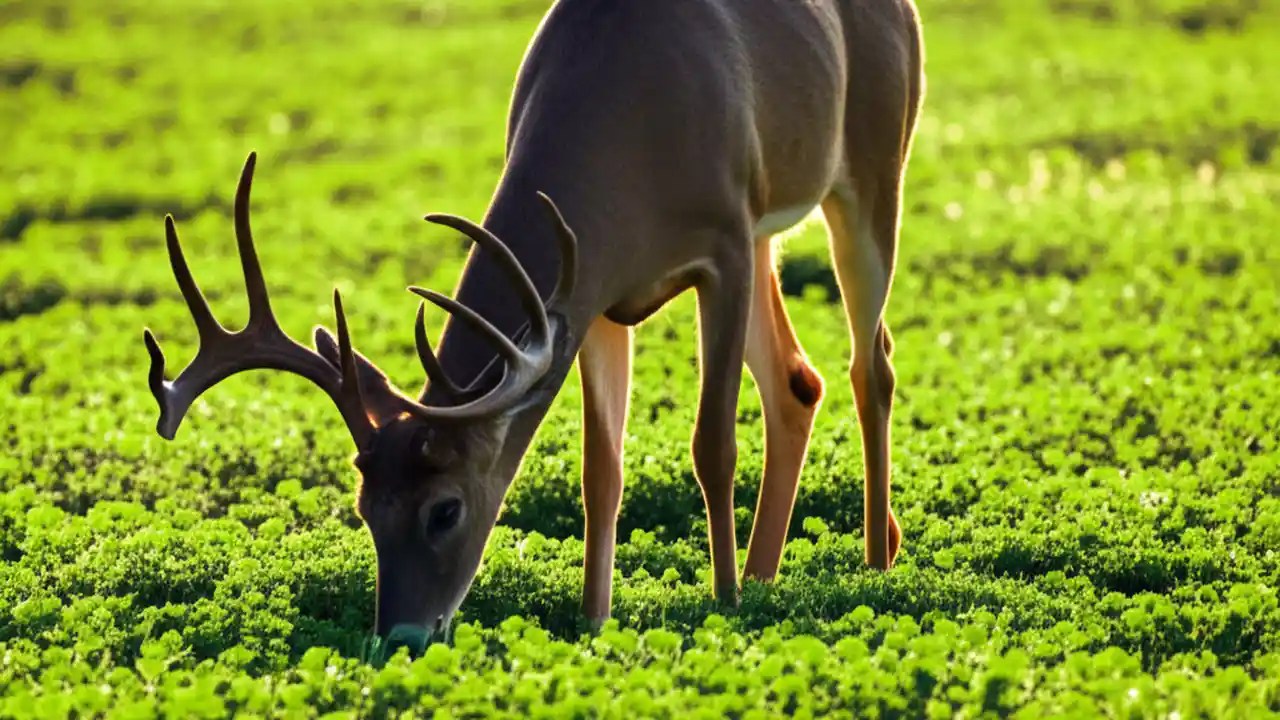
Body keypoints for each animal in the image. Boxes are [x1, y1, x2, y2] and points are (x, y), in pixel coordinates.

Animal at [143, 0, 924, 652]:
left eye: (445, 509)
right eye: (365, 509)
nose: (400, 636)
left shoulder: (724, 242)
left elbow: (713, 445)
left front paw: (722, 605)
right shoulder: (593, 294)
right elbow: (601, 471)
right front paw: (594, 622)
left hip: (872, 171)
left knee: (873, 363)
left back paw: (873, 563)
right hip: (769, 241)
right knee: (798, 382)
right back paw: (767, 579)